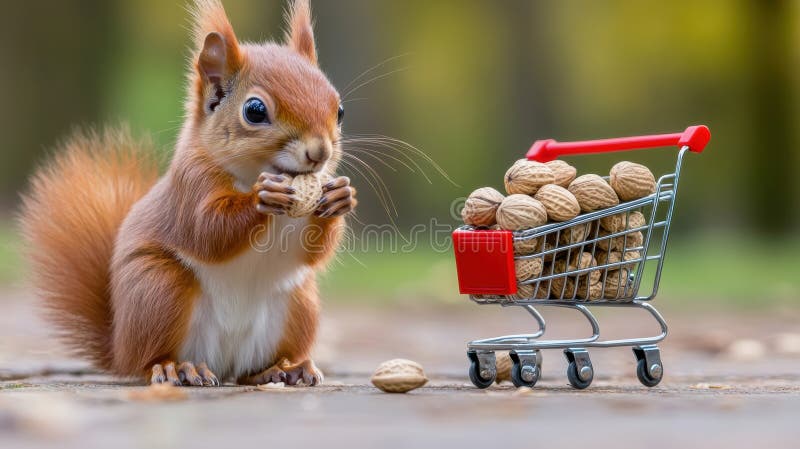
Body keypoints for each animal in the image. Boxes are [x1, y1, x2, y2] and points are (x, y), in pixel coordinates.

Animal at [18, 0, 356, 387]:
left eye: (339, 110)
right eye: (255, 111)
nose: (320, 153)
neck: (255, 173)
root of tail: (120, 347)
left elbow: (313, 252)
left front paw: (339, 198)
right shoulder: (190, 186)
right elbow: (207, 231)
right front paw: (262, 198)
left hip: (298, 305)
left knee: (250, 371)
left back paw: (285, 368)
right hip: (159, 291)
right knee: (149, 359)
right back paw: (176, 367)